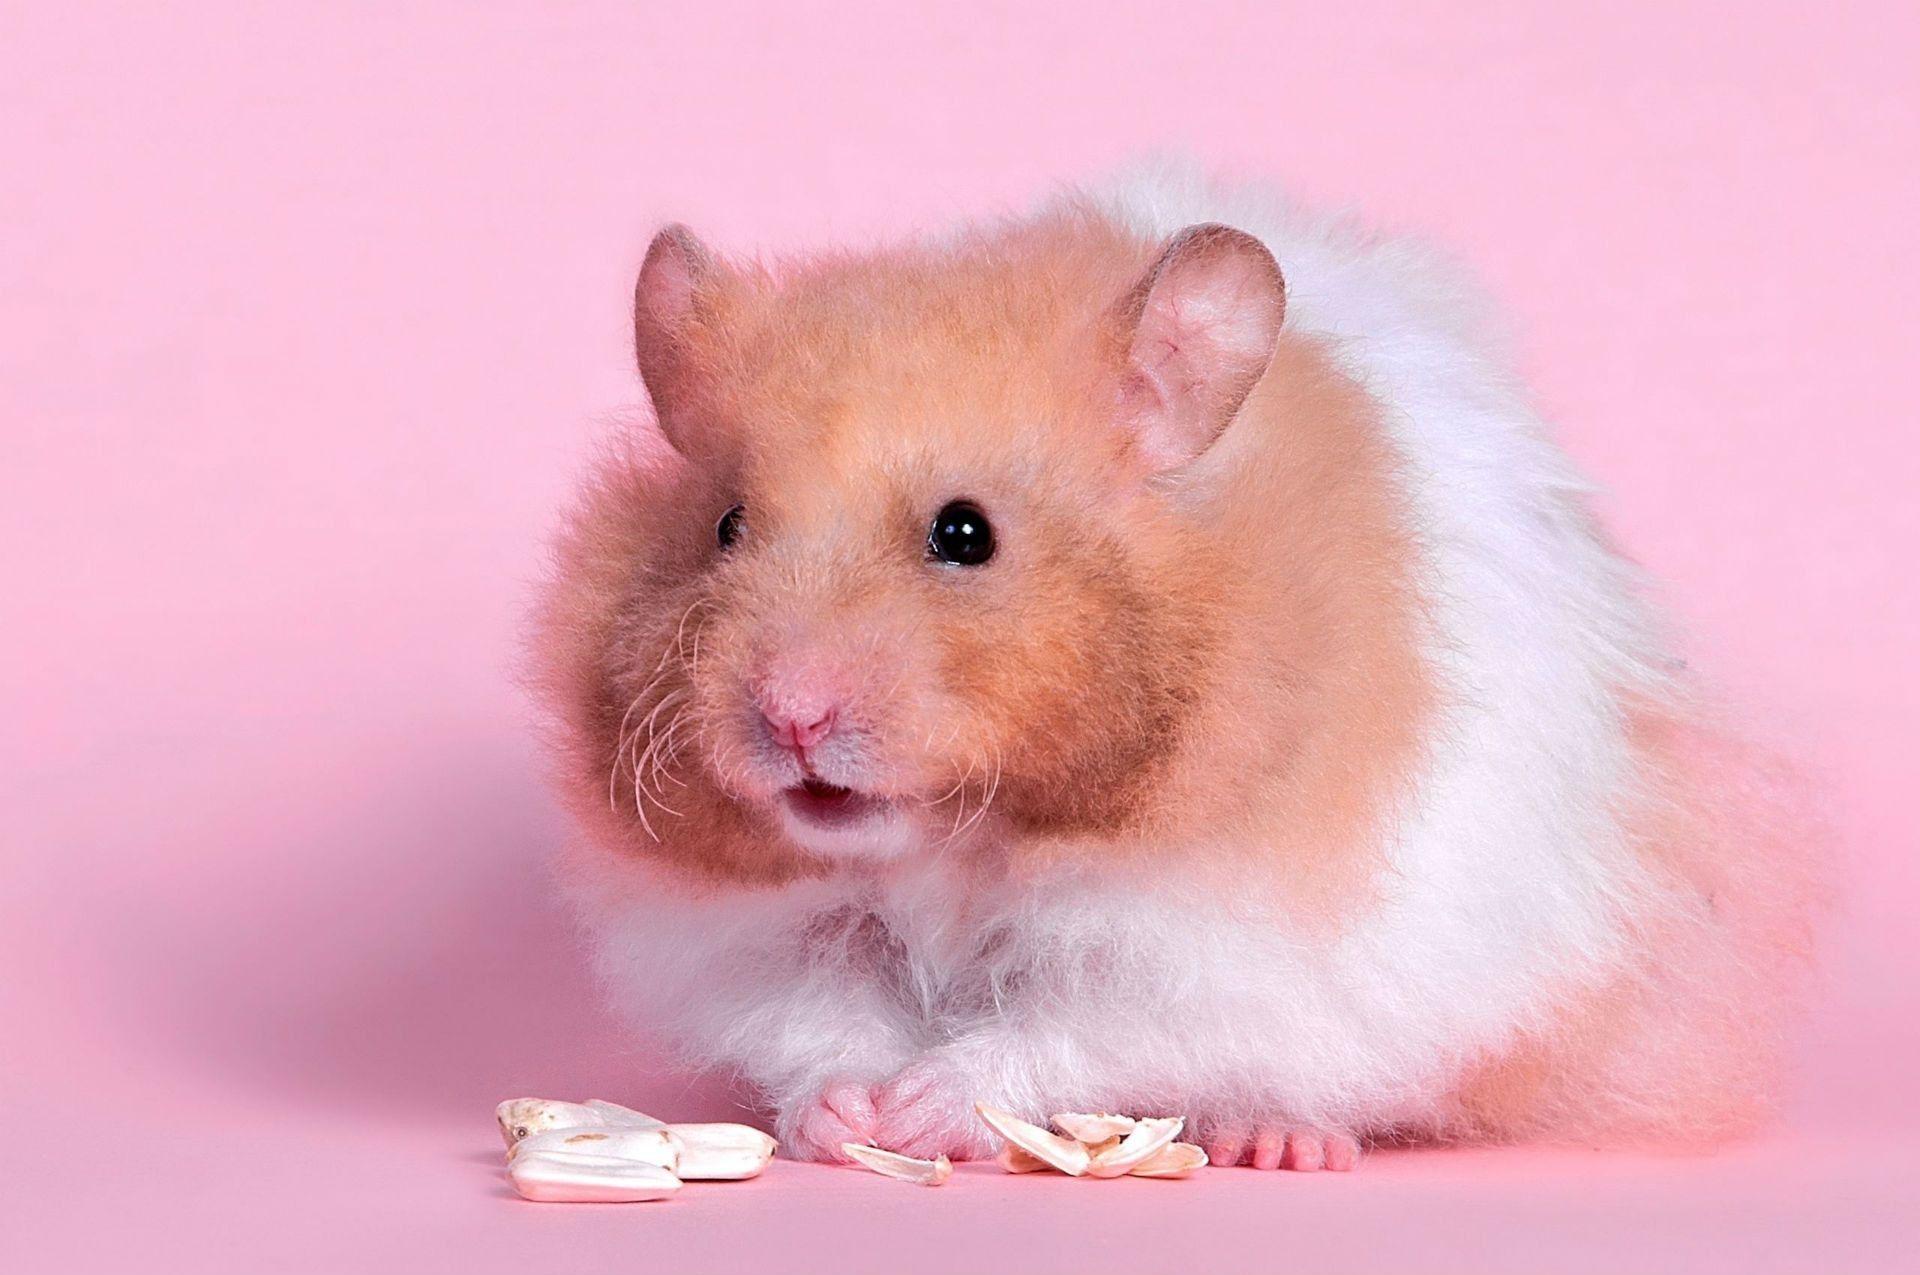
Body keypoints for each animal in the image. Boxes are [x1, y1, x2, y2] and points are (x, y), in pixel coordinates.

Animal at [531, 166, 1821, 1170]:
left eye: (965, 534)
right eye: (726, 526)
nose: (790, 719)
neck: (963, 842)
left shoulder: (1211, 945)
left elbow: (1071, 1027)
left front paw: (928, 1106)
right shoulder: (758, 934)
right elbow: (818, 1016)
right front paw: (851, 1115)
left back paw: (1279, 1141)